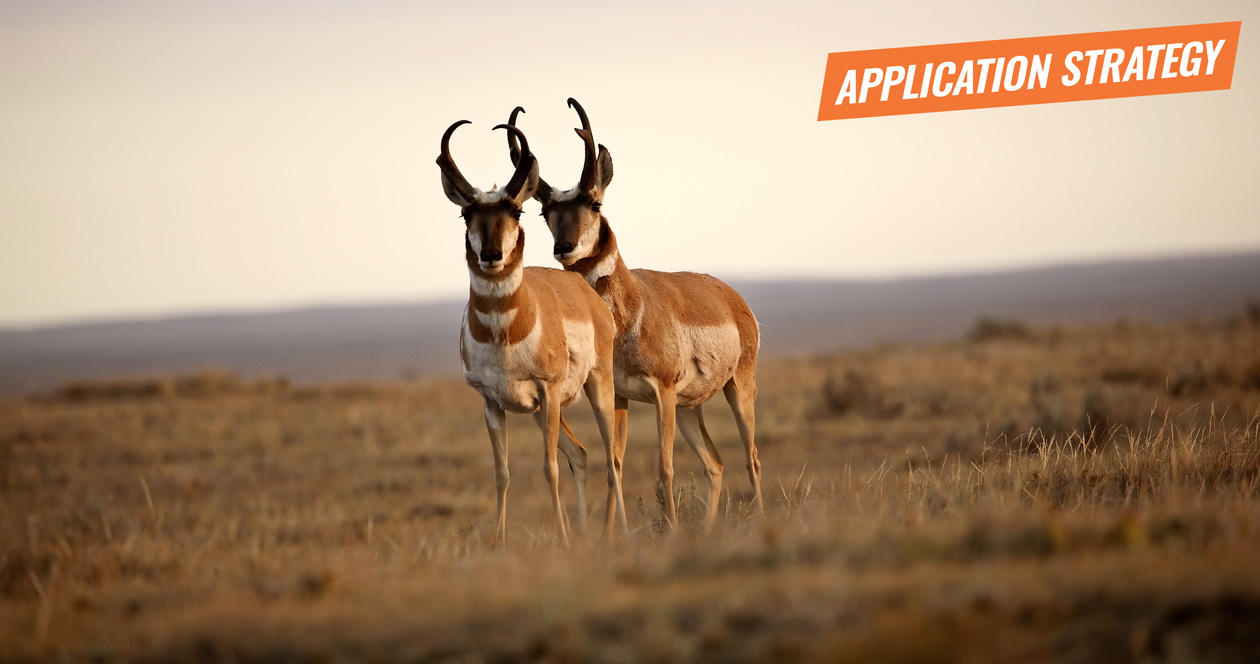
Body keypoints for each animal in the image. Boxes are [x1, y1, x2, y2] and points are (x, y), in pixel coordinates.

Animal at [437, 118, 626, 546]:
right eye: (466, 214)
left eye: (517, 209)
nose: (491, 255)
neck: (503, 335)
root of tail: (584, 291)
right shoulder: (491, 403)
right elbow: (502, 474)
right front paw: (499, 543)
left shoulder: (547, 390)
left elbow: (549, 468)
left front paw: (563, 539)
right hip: (542, 412)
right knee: (581, 454)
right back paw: (587, 535)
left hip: (595, 389)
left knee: (611, 458)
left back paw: (617, 533)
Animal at [507, 100, 764, 530]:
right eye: (544, 212)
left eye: (595, 203)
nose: (565, 247)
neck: (630, 313)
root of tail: (731, 296)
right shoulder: (622, 397)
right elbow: (616, 463)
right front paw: (612, 534)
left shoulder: (662, 393)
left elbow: (664, 468)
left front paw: (670, 529)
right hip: (689, 408)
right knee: (715, 463)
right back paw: (707, 528)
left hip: (736, 388)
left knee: (752, 458)